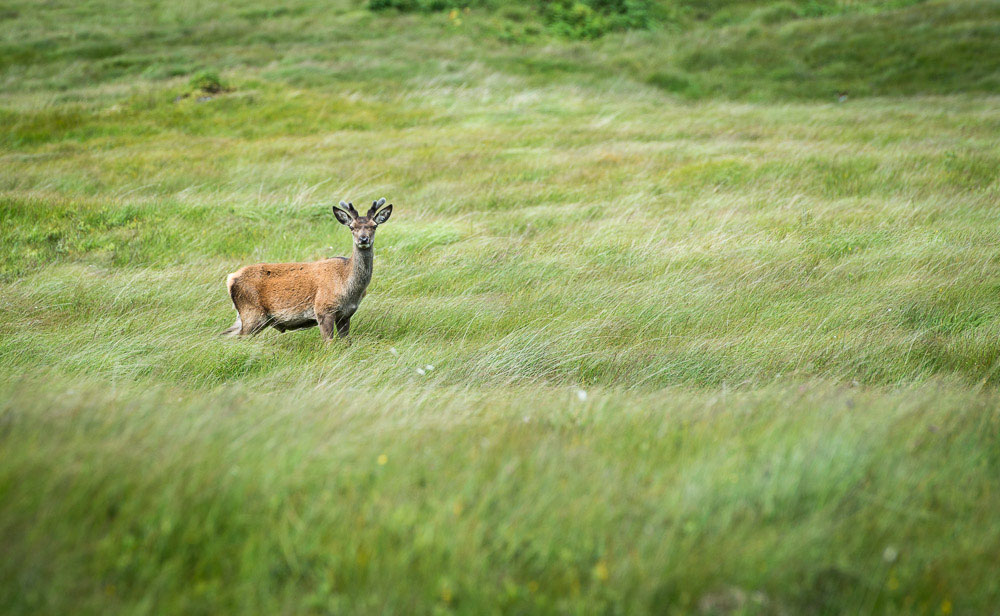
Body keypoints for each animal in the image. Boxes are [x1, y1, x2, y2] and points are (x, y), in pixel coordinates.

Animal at [221, 198, 393, 343]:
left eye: (374, 226)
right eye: (352, 227)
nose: (363, 239)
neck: (347, 284)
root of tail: (231, 279)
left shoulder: (345, 315)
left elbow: (346, 342)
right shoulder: (323, 309)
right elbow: (329, 343)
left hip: (244, 316)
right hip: (252, 313)